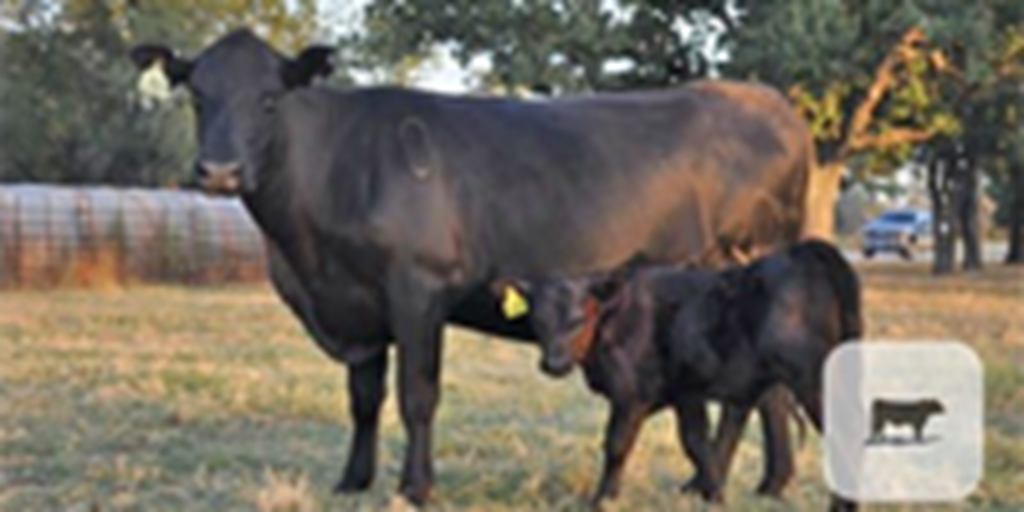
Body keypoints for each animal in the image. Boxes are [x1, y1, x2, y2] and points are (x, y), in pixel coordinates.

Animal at [129, 28, 816, 505]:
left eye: (270, 100)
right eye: (197, 96)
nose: (219, 170)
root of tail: (770, 102)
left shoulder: (417, 289)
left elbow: (417, 395)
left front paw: (415, 488)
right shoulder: (357, 305)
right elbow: (364, 398)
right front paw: (353, 480)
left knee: (758, 389)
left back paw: (735, 482)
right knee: (768, 389)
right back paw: (764, 481)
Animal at [514, 240, 862, 509]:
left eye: (578, 319)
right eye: (537, 320)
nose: (553, 364)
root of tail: (800, 251)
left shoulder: (630, 394)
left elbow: (616, 445)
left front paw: (602, 500)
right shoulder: (686, 392)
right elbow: (697, 444)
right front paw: (714, 495)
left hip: (813, 381)